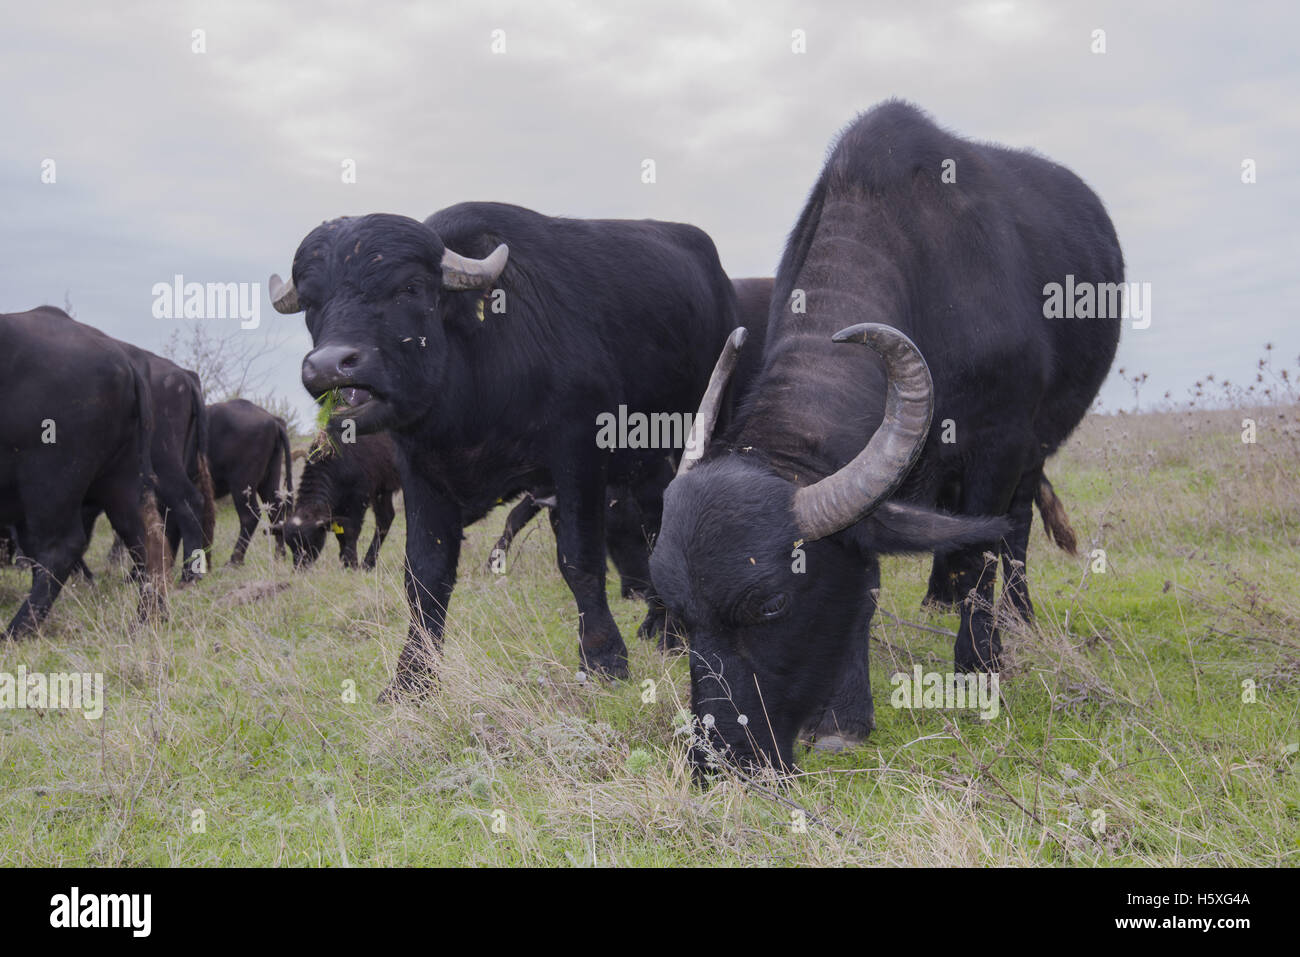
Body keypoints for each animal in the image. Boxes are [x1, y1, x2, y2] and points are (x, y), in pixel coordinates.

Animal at [651, 101, 1123, 771]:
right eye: (679, 614)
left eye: (771, 605)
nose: (719, 757)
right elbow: (869, 580)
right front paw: (843, 716)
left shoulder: (1000, 442)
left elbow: (983, 552)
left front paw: (978, 670)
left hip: (1035, 449)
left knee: (1017, 527)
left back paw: (1018, 615)